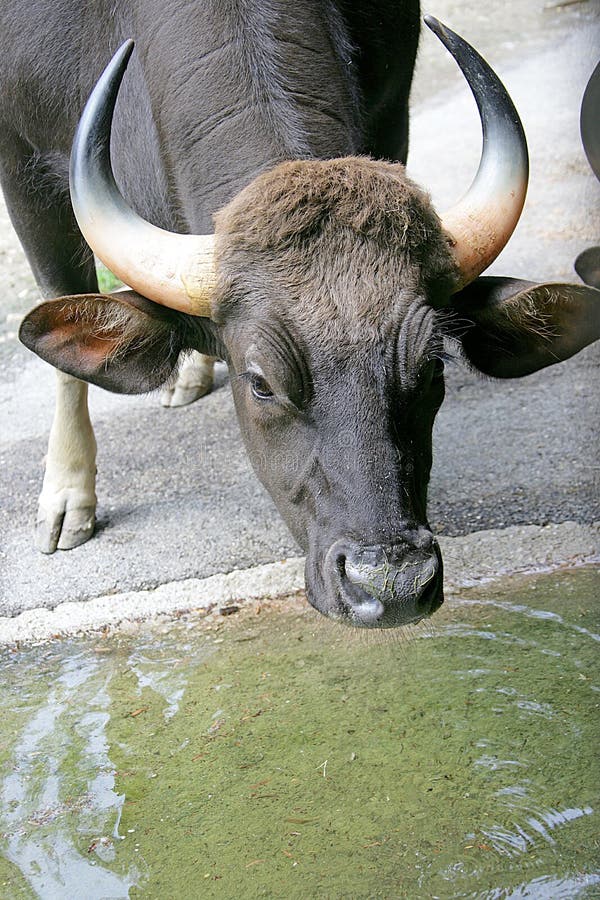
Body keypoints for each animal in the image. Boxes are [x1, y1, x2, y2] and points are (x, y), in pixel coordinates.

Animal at [4, 2, 599, 626]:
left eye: (433, 367)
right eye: (261, 383)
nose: (392, 585)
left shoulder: (392, 114)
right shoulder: (19, 165)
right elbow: (60, 337)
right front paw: (66, 497)